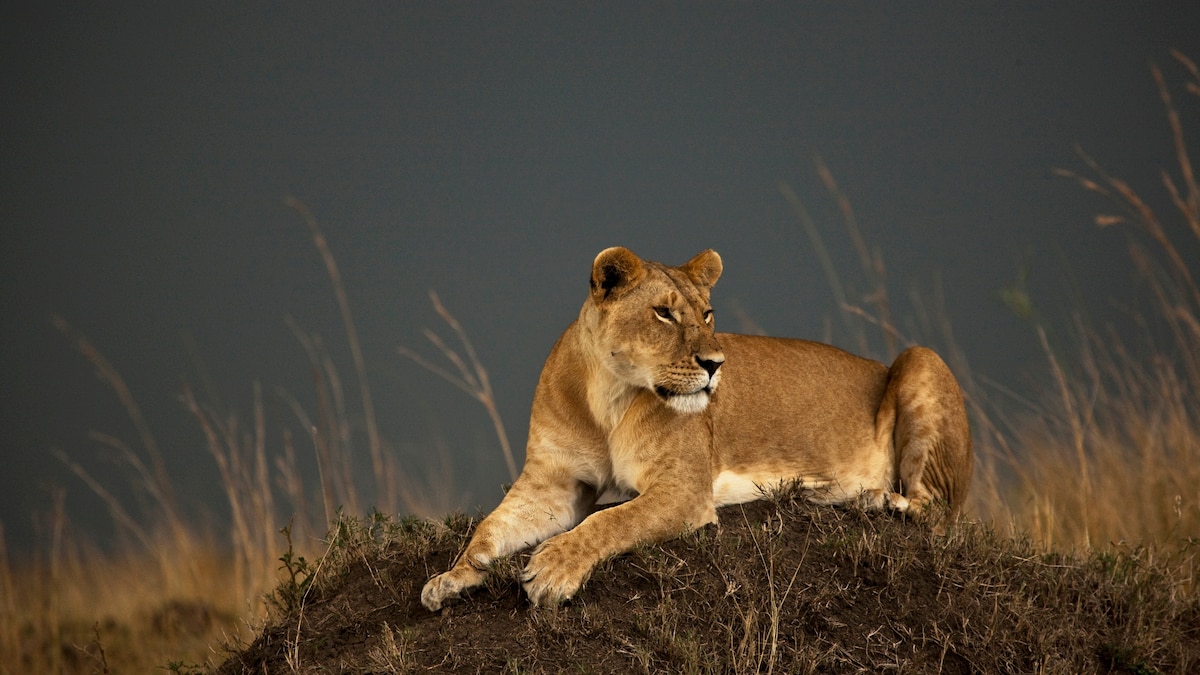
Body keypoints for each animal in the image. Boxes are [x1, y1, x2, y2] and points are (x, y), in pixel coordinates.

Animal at [421, 246, 973, 611]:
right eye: (663, 313)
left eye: (707, 314)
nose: (715, 364)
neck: (609, 393)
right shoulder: (553, 483)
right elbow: (491, 527)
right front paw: (453, 577)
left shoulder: (684, 489)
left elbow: (611, 521)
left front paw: (555, 568)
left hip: (920, 357)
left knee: (938, 512)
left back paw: (866, 498)